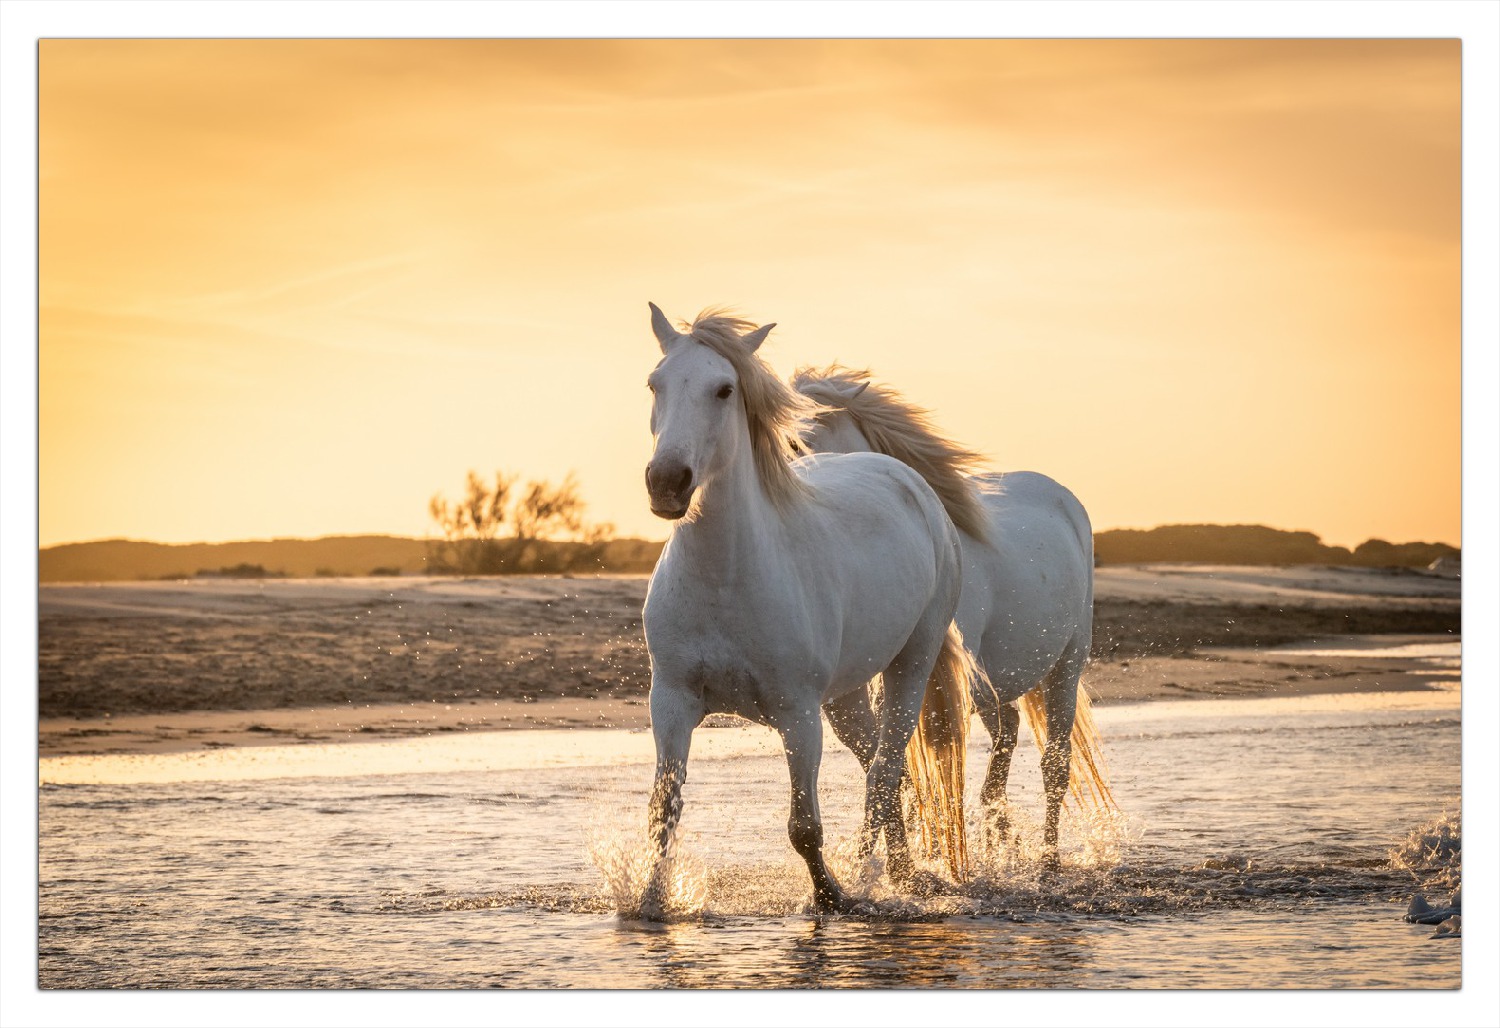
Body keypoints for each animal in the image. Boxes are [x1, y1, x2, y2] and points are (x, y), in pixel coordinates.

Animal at [638, 304, 975, 916]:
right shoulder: (671, 703)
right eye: (655, 383)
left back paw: (884, 877)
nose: (667, 483)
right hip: (844, 698)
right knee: (881, 769)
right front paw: (649, 904)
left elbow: (804, 827)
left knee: (887, 770)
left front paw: (831, 898)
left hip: (911, 664)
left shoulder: (797, 715)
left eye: (724, 389)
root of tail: (908, 480)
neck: (727, 579)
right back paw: (898, 871)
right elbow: (663, 814)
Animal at [791, 365, 1115, 860]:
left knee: (1054, 766)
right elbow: (889, 766)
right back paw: (1004, 839)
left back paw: (1047, 858)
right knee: (1007, 735)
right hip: (997, 682)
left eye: (802, 440)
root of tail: (1064, 499)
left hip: (1066, 664)